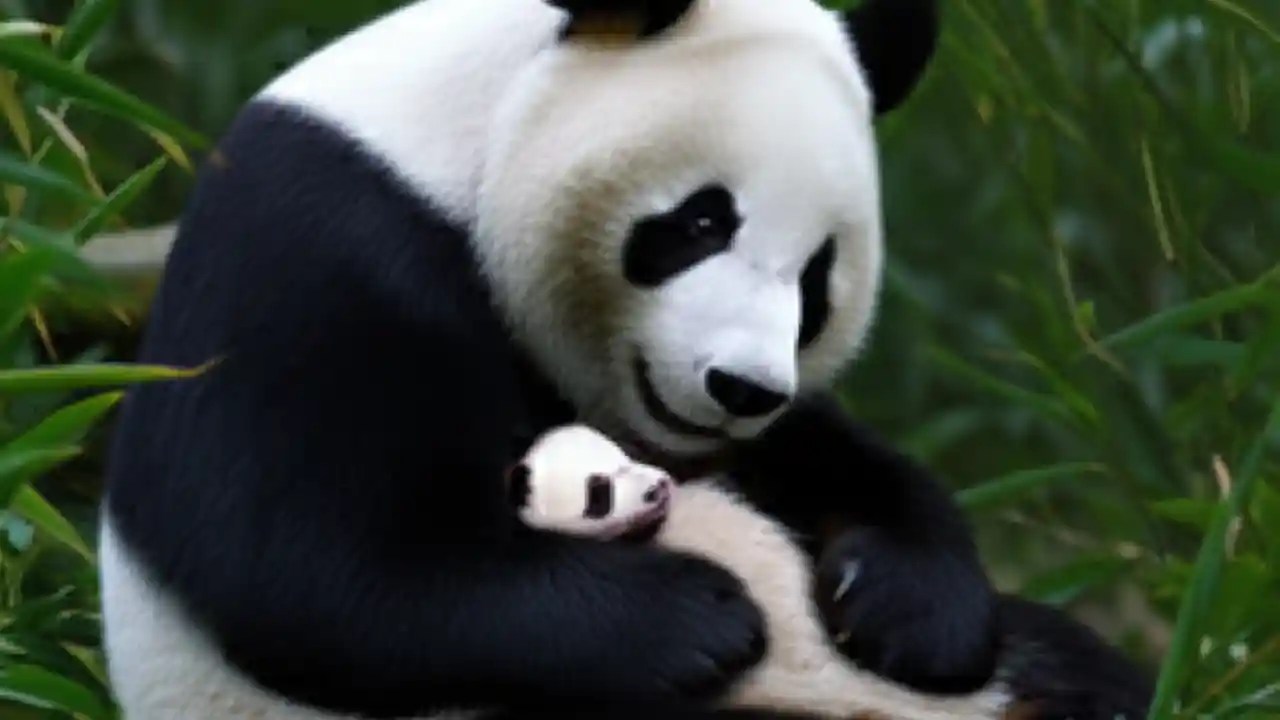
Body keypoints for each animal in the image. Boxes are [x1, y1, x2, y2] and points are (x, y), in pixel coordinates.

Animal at [98, 1, 1154, 719]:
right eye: (701, 221)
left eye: (818, 278)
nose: (741, 388)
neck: (456, 141)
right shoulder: (316, 250)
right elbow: (315, 564)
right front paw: (697, 618)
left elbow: (830, 458)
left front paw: (904, 605)